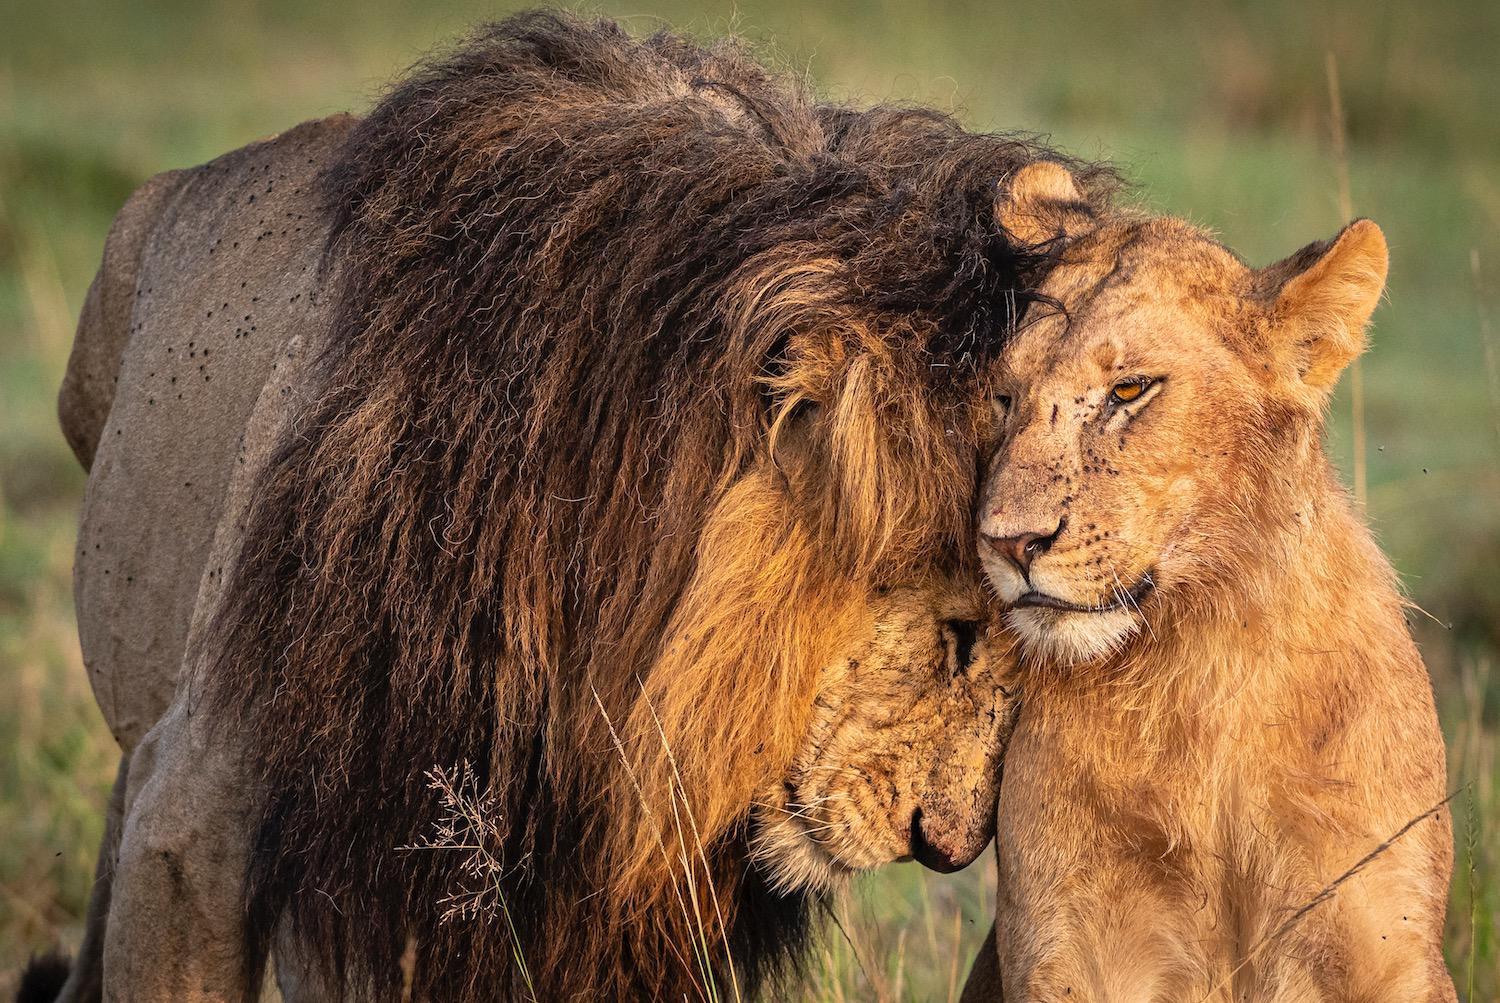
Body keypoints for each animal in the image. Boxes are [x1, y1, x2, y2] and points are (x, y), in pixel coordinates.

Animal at [960, 164, 1455, 1000]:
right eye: (1005, 397)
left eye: (1130, 390)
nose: (1008, 541)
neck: (1201, 669)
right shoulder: (1069, 944)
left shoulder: (1384, 943)